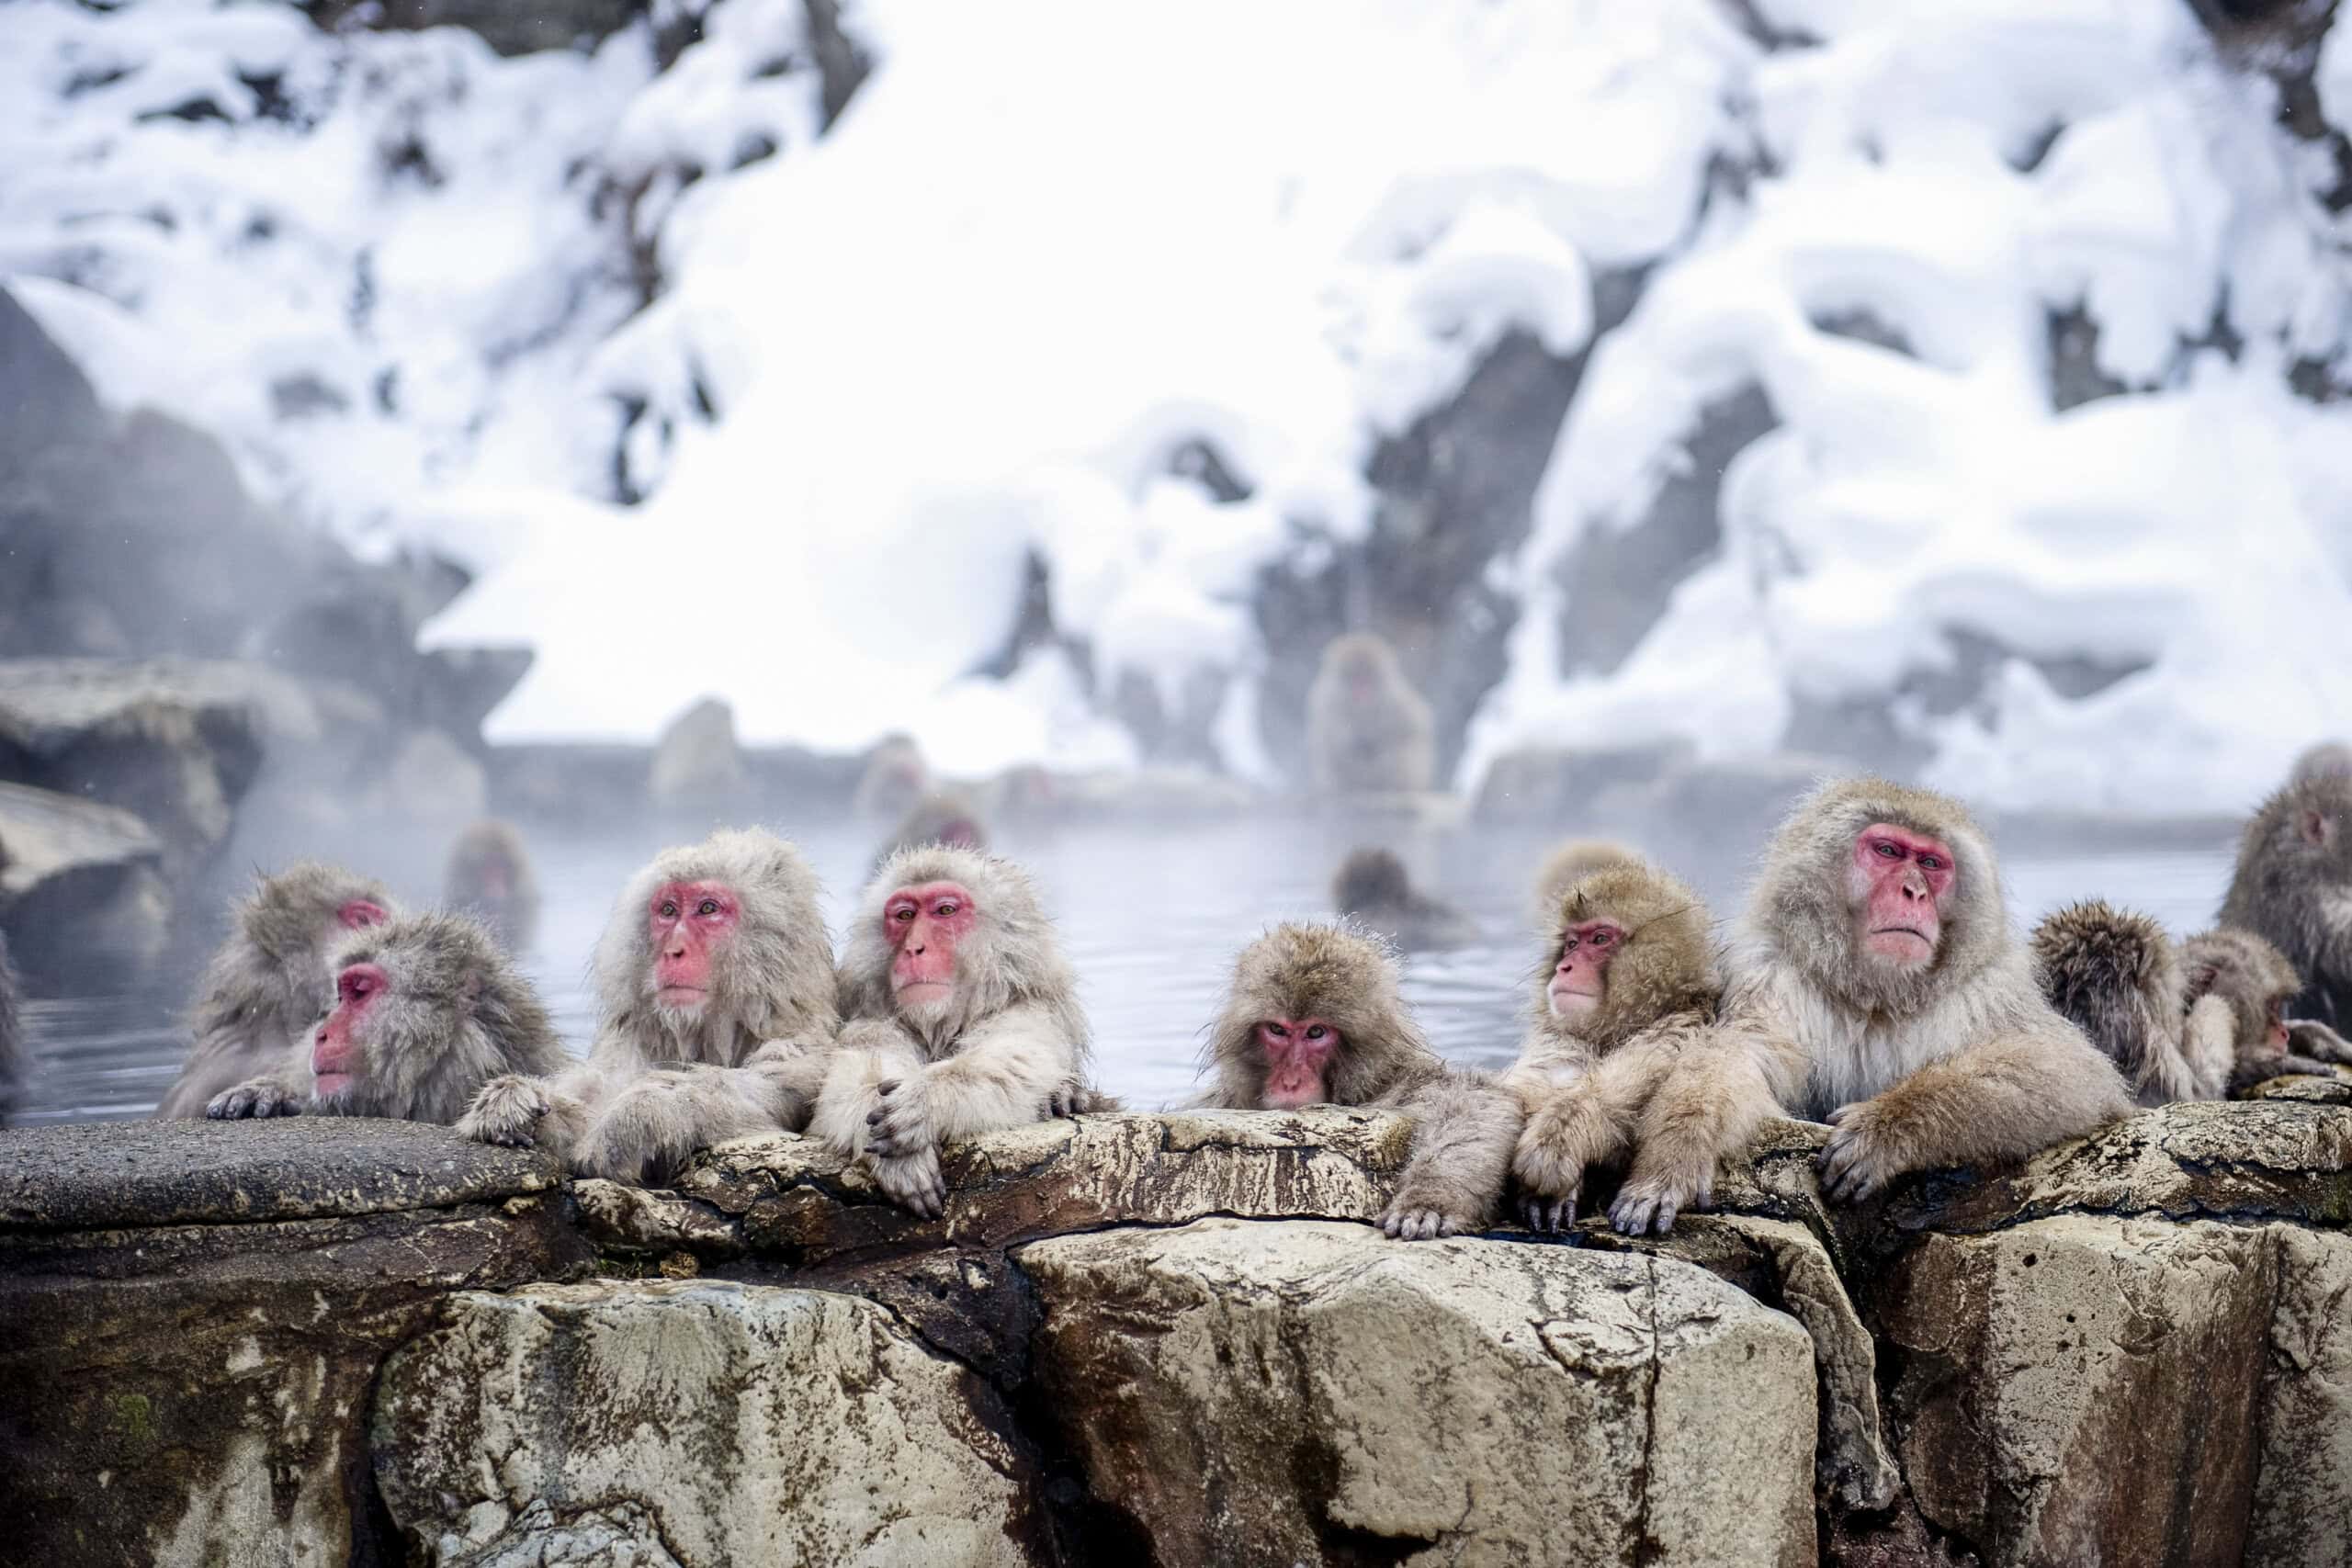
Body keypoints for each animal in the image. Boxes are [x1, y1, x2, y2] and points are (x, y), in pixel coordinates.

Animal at [457, 827, 839, 1184]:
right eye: (668, 911)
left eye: (708, 908)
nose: (673, 950)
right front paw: (514, 1100)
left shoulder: (799, 1046)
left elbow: (773, 1092)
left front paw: (637, 1115)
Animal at [809, 844, 1099, 1217]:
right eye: (905, 915)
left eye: (945, 910)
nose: (914, 949)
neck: (941, 1026)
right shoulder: (872, 1021)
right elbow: (849, 1086)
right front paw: (901, 1162)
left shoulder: (1029, 1009)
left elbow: (1015, 1065)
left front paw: (925, 1101)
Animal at [1304, 633, 1436, 794]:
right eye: (1353, 679)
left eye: (1367, 680)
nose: (1361, 693)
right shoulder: (1324, 701)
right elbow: (1325, 736)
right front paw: (1346, 737)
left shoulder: (1395, 699)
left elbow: (1413, 729)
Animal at [1507, 860, 1723, 1231]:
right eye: (1571, 944)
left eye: (1600, 939)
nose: (1564, 967)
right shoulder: (1564, 1036)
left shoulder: (1682, 1026)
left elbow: (1635, 1088)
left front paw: (1559, 1138)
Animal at [1610, 777, 2134, 1235]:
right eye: (1888, 852)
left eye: (1931, 862)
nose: (1915, 891)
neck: (1876, 997)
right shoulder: (1770, 974)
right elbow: (1739, 1056)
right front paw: (1674, 1157)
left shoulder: (1985, 990)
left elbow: (2066, 1069)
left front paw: (1888, 1128)